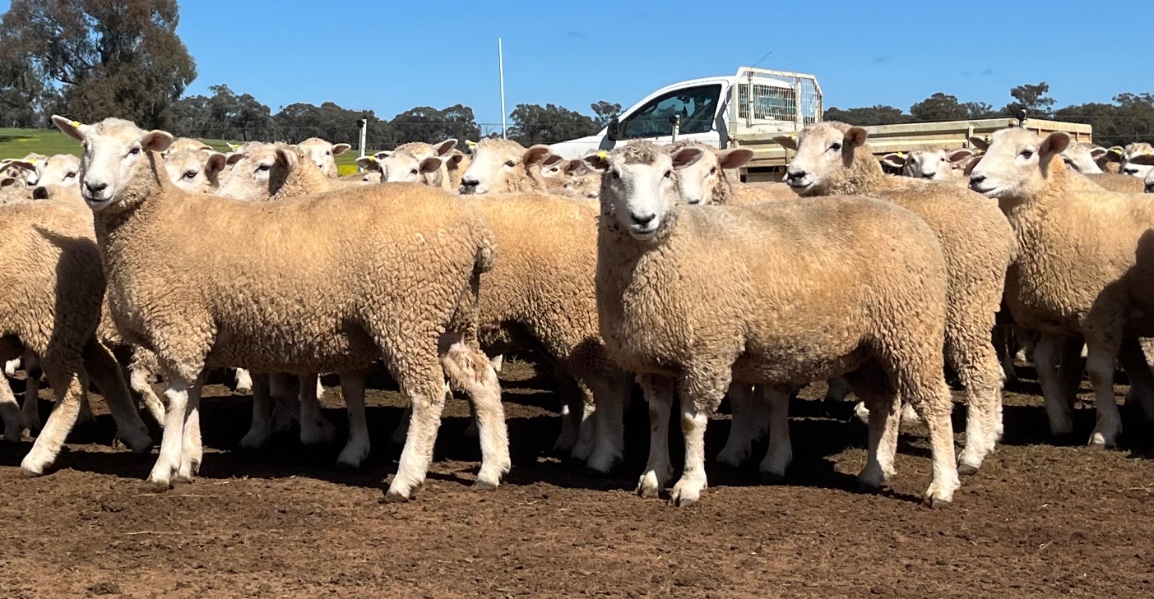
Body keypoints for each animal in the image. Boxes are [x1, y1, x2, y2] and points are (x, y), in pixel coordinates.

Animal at [0, 199, 154, 474]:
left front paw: (14, 423)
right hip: (79, 322)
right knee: (107, 368)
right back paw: (138, 437)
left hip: (51, 325)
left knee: (72, 386)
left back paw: (38, 457)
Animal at [55, 115, 507, 498]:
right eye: (85, 148)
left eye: (134, 150)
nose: (94, 188)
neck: (156, 221)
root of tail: (477, 233)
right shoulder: (200, 330)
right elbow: (194, 396)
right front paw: (189, 459)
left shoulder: (179, 325)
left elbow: (178, 398)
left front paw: (165, 468)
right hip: (448, 319)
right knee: (482, 380)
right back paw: (492, 468)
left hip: (406, 317)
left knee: (428, 394)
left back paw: (406, 478)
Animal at [587, 141, 959, 507]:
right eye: (614, 174)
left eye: (667, 173)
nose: (643, 218)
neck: (678, 247)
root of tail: (914, 220)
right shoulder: (652, 361)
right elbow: (658, 417)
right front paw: (652, 475)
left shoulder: (707, 354)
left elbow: (690, 422)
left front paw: (689, 484)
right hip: (867, 349)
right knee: (883, 403)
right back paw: (873, 473)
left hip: (913, 331)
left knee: (936, 403)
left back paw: (942, 486)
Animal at [774, 122, 1016, 474]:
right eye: (797, 144)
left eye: (835, 146)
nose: (794, 174)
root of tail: (1000, 224)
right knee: (993, 368)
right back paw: (993, 432)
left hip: (967, 300)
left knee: (981, 370)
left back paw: (973, 452)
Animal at [967, 127, 1154, 447]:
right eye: (987, 147)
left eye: (1027, 153)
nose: (976, 178)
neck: (1060, 212)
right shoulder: (1059, 314)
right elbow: (1043, 363)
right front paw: (1061, 421)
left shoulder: (1100, 315)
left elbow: (1099, 372)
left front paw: (1104, 431)